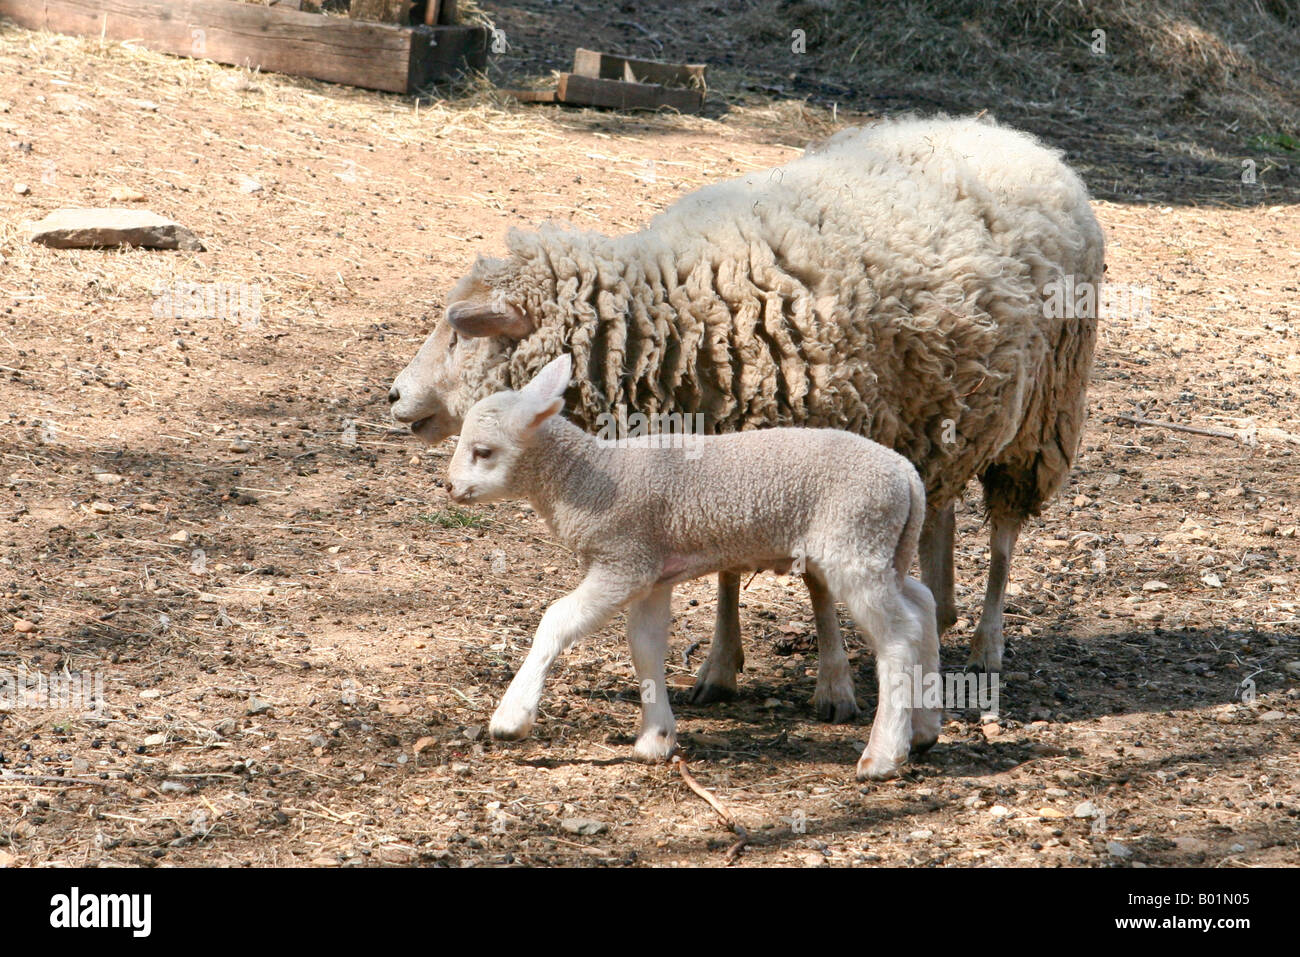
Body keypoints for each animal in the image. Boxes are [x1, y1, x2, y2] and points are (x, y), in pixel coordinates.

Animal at [389, 113, 1103, 685]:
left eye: (459, 332)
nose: (395, 394)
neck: (674, 318)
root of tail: (1016, 138)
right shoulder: (726, 459)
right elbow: (727, 571)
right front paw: (719, 667)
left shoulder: (813, 445)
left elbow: (812, 581)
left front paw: (830, 680)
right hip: (948, 412)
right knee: (941, 505)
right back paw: (943, 603)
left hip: (1043, 414)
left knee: (1005, 535)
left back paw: (986, 642)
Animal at [447, 353, 942, 780]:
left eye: (483, 452)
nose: (449, 487)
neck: (584, 479)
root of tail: (907, 476)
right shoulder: (652, 574)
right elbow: (644, 644)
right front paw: (656, 739)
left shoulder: (622, 560)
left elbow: (557, 619)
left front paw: (512, 718)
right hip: (884, 548)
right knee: (922, 605)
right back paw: (923, 730)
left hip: (854, 539)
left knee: (898, 636)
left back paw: (883, 755)